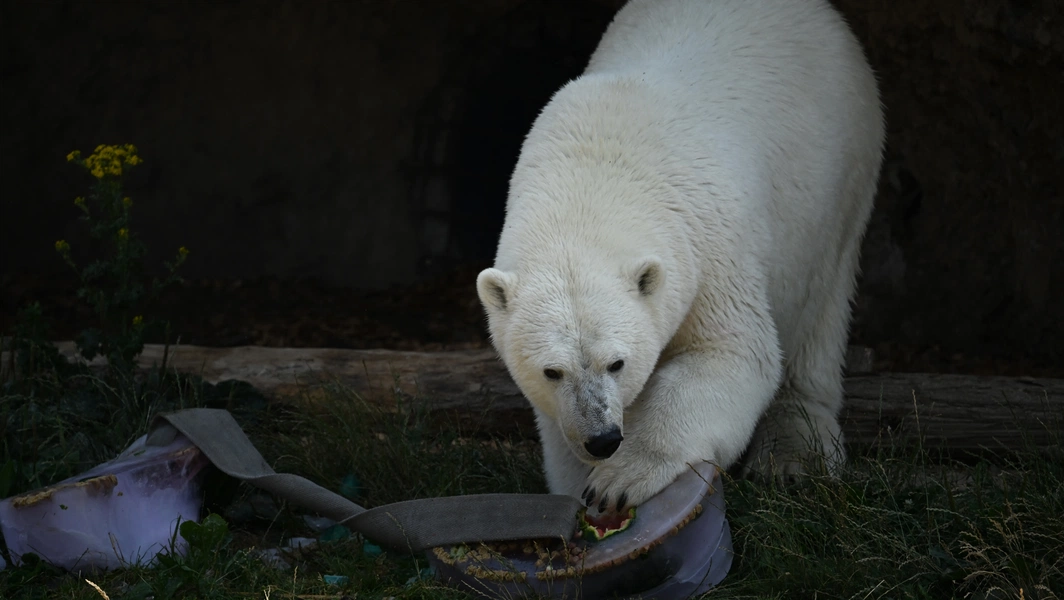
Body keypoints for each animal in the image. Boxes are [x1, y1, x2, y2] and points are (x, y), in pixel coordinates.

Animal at [476, 0, 885, 513]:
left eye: (617, 363)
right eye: (551, 370)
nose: (602, 439)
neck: (595, 178)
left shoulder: (708, 247)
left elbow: (730, 354)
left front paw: (620, 478)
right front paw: (580, 491)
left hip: (840, 168)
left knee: (819, 305)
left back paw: (796, 453)